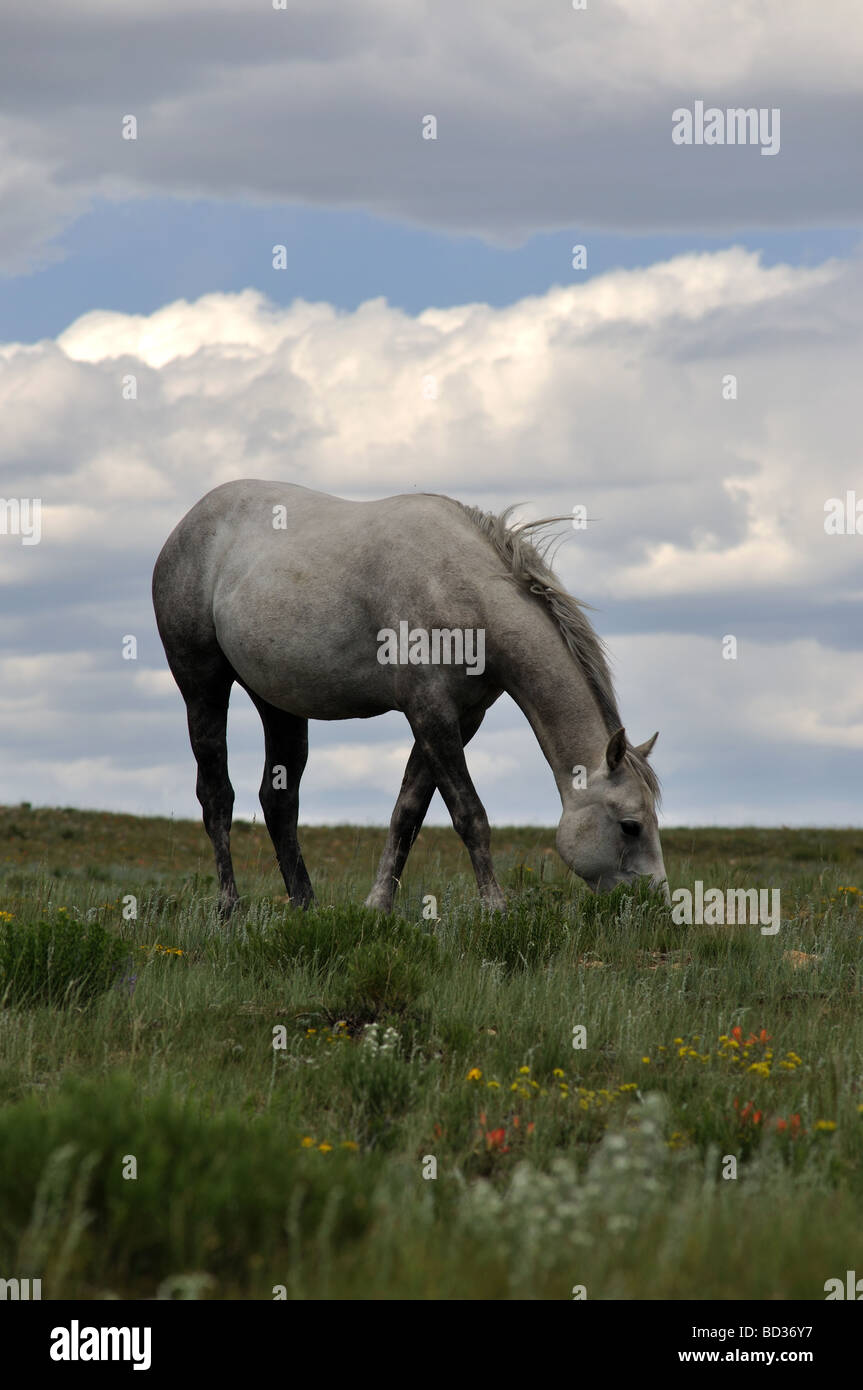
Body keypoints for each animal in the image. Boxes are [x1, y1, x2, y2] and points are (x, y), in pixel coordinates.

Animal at [152, 480, 668, 916]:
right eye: (630, 825)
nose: (658, 906)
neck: (464, 593)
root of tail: (186, 525)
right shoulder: (430, 712)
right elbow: (469, 814)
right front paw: (496, 910)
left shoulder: (457, 719)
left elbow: (408, 814)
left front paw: (378, 907)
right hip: (202, 686)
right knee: (216, 795)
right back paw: (229, 908)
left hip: (279, 705)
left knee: (279, 803)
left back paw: (305, 907)